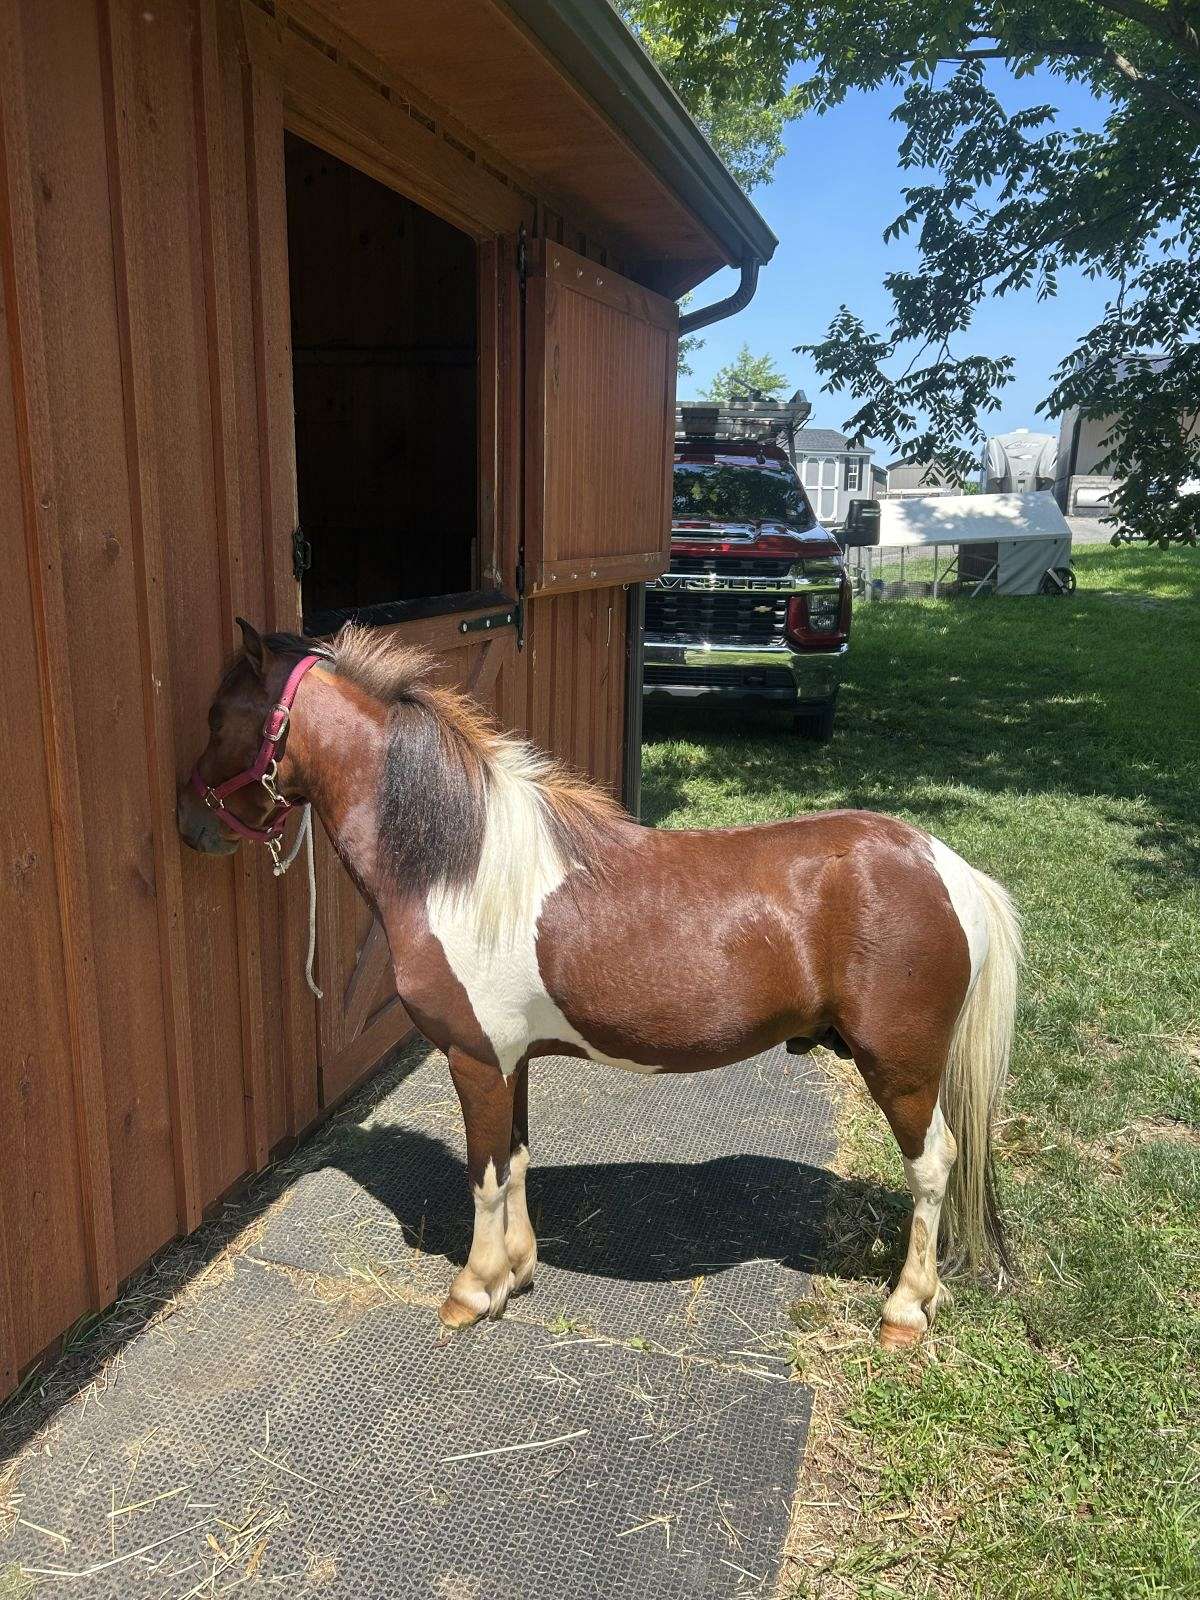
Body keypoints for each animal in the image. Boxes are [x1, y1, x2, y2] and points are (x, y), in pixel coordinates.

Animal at [178, 618, 1021, 1348]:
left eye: (220, 715)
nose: (190, 822)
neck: (461, 866)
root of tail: (946, 866)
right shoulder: (510, 1061)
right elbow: (517, 1161)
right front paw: (516, 1273)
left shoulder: (474, 1061)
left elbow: (484, 1177)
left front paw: (471, 1290)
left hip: (900, 1067)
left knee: (933, 1164)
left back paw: (905, 1310)